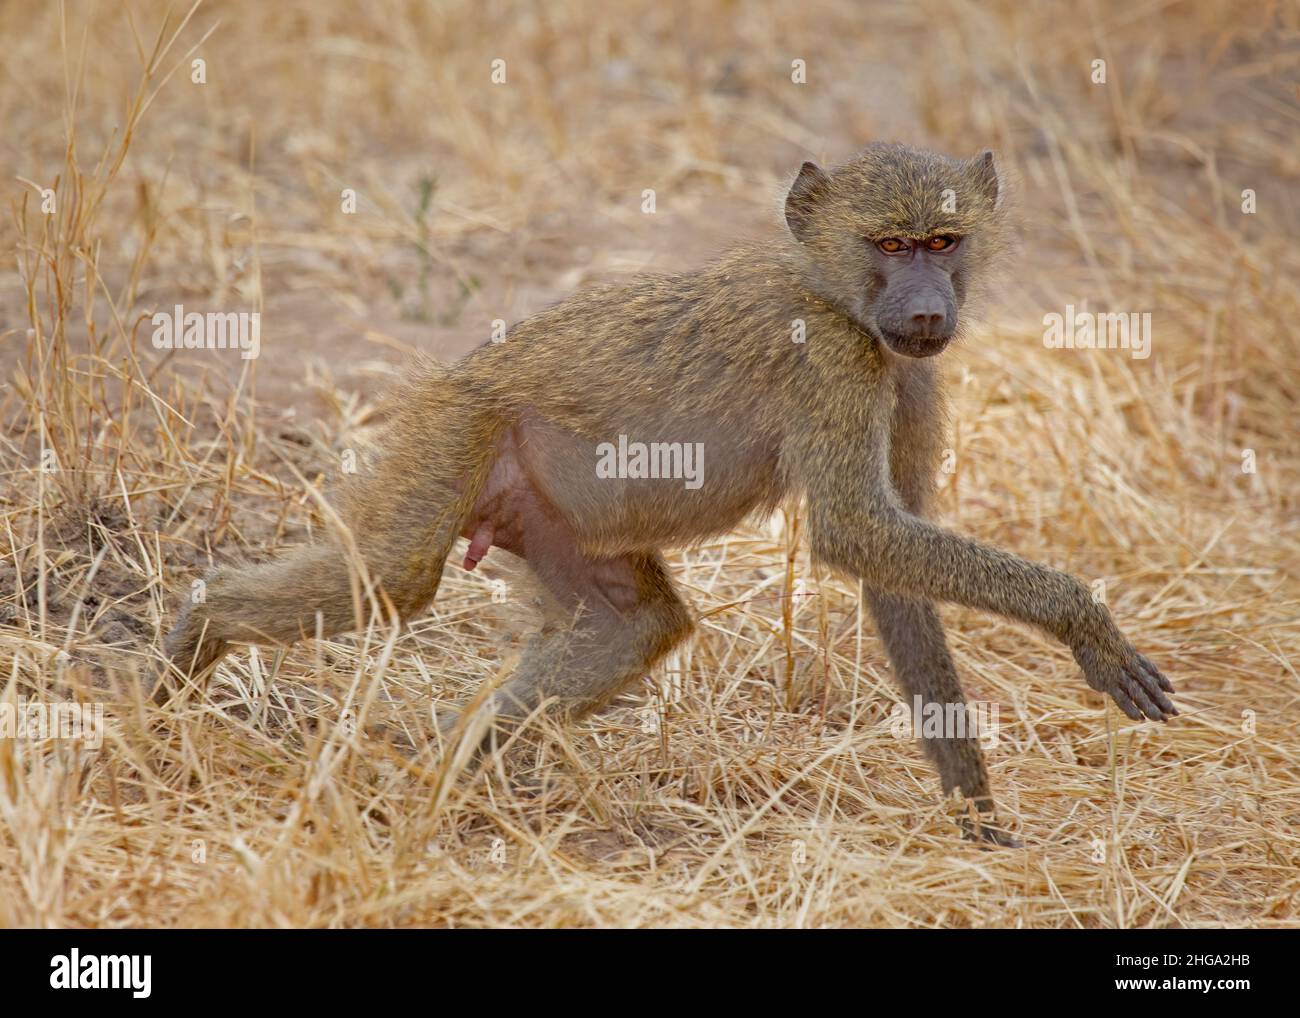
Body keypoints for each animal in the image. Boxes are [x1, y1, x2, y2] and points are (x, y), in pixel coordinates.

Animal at [162, 142, 1176, 845]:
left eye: (944, 241)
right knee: (395, 576)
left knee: (637, 626)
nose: (929, 308)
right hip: (459, 427)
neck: (835, 293)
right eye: (891, 244)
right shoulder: (835, 360)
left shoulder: (910, 375)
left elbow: (893, 574)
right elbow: (857, 533)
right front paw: (1088, 626)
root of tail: (460, 376)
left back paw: (437, 778)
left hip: (543, 514)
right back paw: (196, 638)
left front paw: (977, 821)